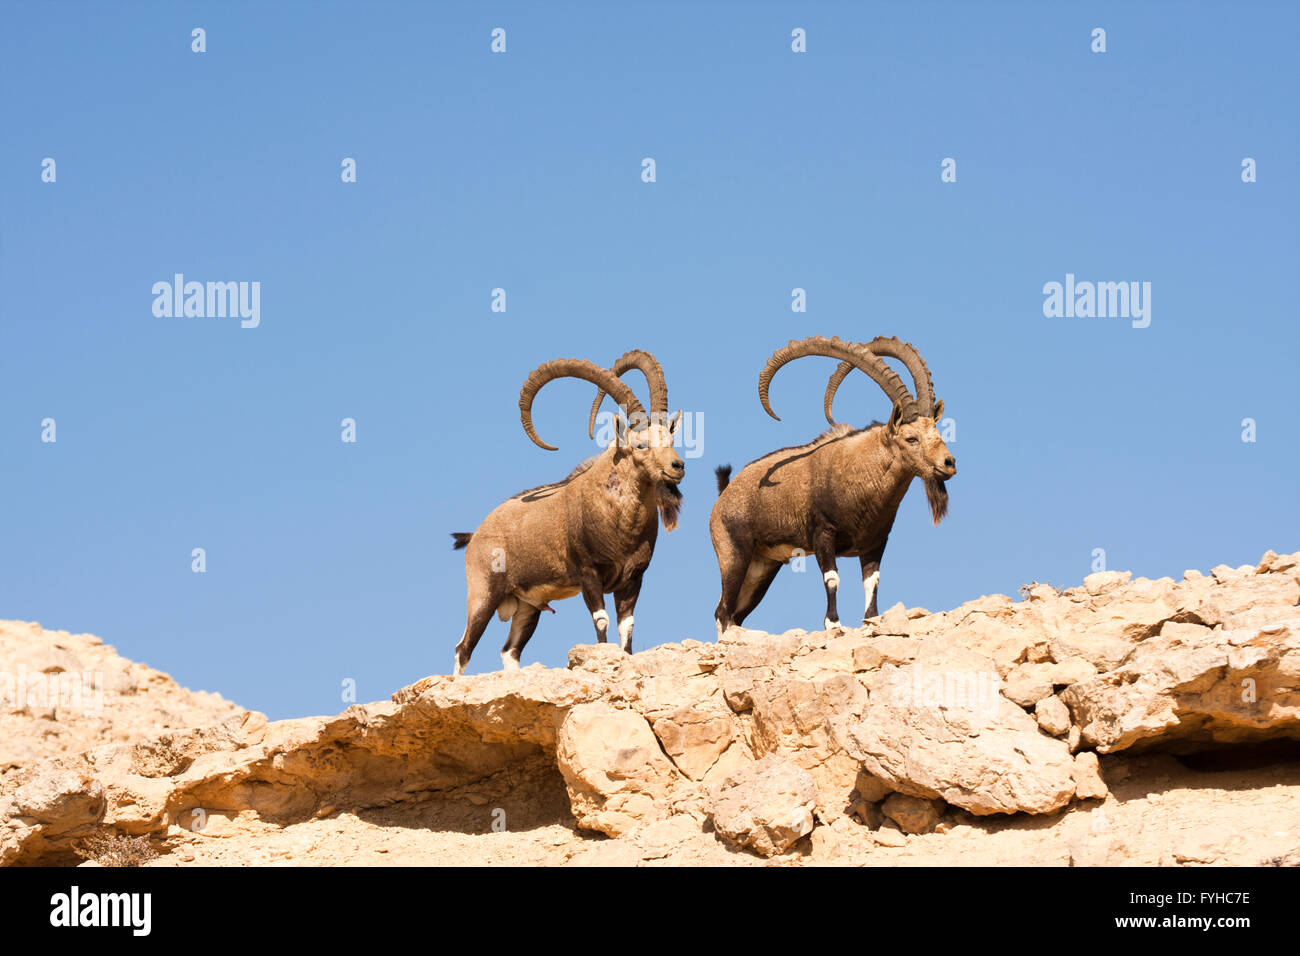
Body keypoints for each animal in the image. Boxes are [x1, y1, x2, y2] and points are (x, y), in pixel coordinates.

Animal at [450, 352, 685, 675]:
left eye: (671, 440)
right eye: (641, 444)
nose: (677, 466)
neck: (621, 525)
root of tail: (473, 536)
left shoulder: (633, 578)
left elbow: (627, 626)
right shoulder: (588, 574)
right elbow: (602, 620)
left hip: (529, 606)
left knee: (510, 650)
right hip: (483, 593)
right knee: (463, 649)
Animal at [710, 335, 955, 634]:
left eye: (937, 431)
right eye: (911, 438)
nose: (948, 463)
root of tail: (723, 496)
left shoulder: (875, 541)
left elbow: (872, 581)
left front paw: (872, 620)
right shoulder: (823, 535)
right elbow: (832, 578)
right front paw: (833, 623)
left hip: (762, 568)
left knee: (735, 613)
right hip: (734, 555)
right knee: (723, 611)